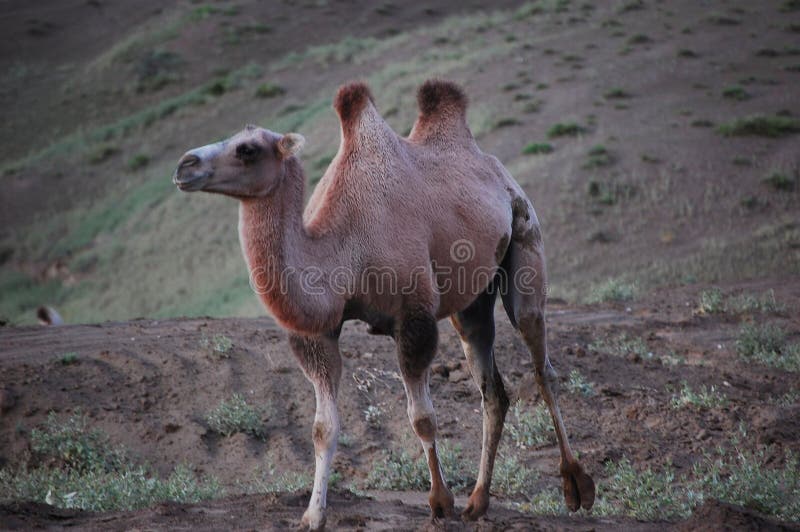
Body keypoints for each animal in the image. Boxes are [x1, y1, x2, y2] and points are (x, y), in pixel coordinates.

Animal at [173, 79, 595, 529]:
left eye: (247, 149)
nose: (184, 165)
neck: (346, 247)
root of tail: (500, 173)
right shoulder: (320, 331)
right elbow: (323, 426)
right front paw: (312, 515)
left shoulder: (414, 317)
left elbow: (422, 417)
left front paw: (439, 502)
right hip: (472, 302)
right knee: (492, 387)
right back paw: (478, 502)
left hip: (526, 237)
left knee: (541, 363)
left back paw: (576, 486)